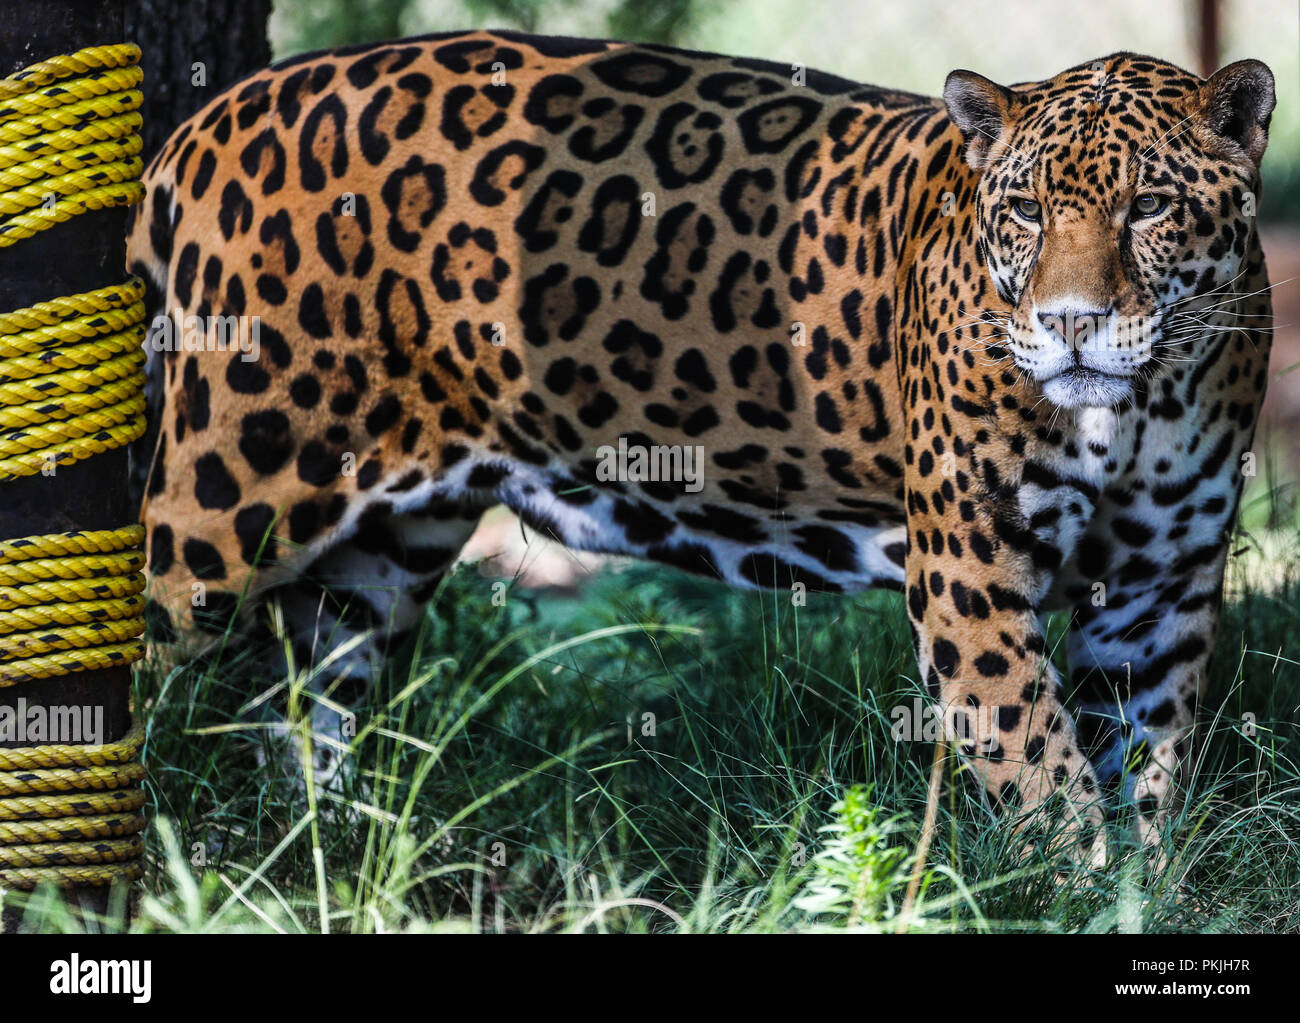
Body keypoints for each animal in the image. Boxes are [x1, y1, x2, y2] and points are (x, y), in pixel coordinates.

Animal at [124, 29, 1276, 861]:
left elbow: (1144, 768)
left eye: (1152, 206)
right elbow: (1039, 763)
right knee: (130, 655)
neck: (1139, 406)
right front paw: (1074, 886)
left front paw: (1142, 892)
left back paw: (319, 855)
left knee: (302, 701)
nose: (1072, 322)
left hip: (386, 546)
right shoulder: (971, 572)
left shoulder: (1160, 587)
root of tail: (208, 121)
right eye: (1027, 212)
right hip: (223, 498)